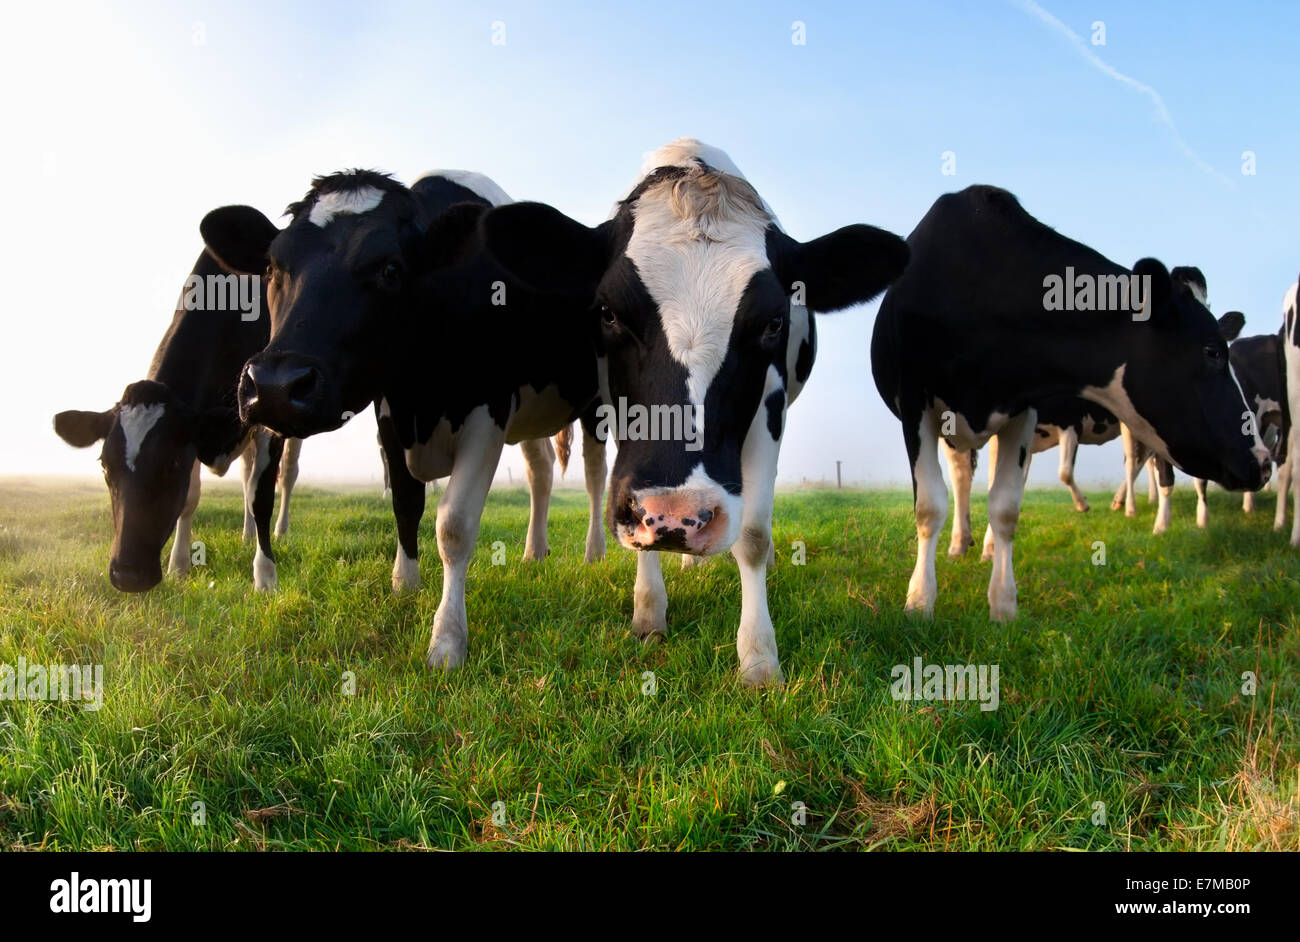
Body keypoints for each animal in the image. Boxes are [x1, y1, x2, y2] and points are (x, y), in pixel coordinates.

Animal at [200, 169, 610, 672]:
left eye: (391, 269)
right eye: (274, 267)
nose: (275, 385)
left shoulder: (487, 413)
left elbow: (453, 525)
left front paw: (447, 640)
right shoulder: (391, 414)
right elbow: (405, 502)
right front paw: (405, 584)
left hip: (597, 398)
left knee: (594, 474)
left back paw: (594, 552)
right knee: (541, 471)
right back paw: (534, 553)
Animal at [479, 139, 909, 684]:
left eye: (773, 322)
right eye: (608, 313)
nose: (675, 516)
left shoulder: (769, 408)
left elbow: (752, 535)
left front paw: (759, 658)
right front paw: (648, 614)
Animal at [872, 185, 1269, 621]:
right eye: (1212, 351)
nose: (1264, 461)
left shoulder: (1023, 410)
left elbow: (1006, 506)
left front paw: (1003, 605)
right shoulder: (915, 405)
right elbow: (930, 506)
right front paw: (919, 601)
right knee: (960, 479)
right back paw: (960, 542)